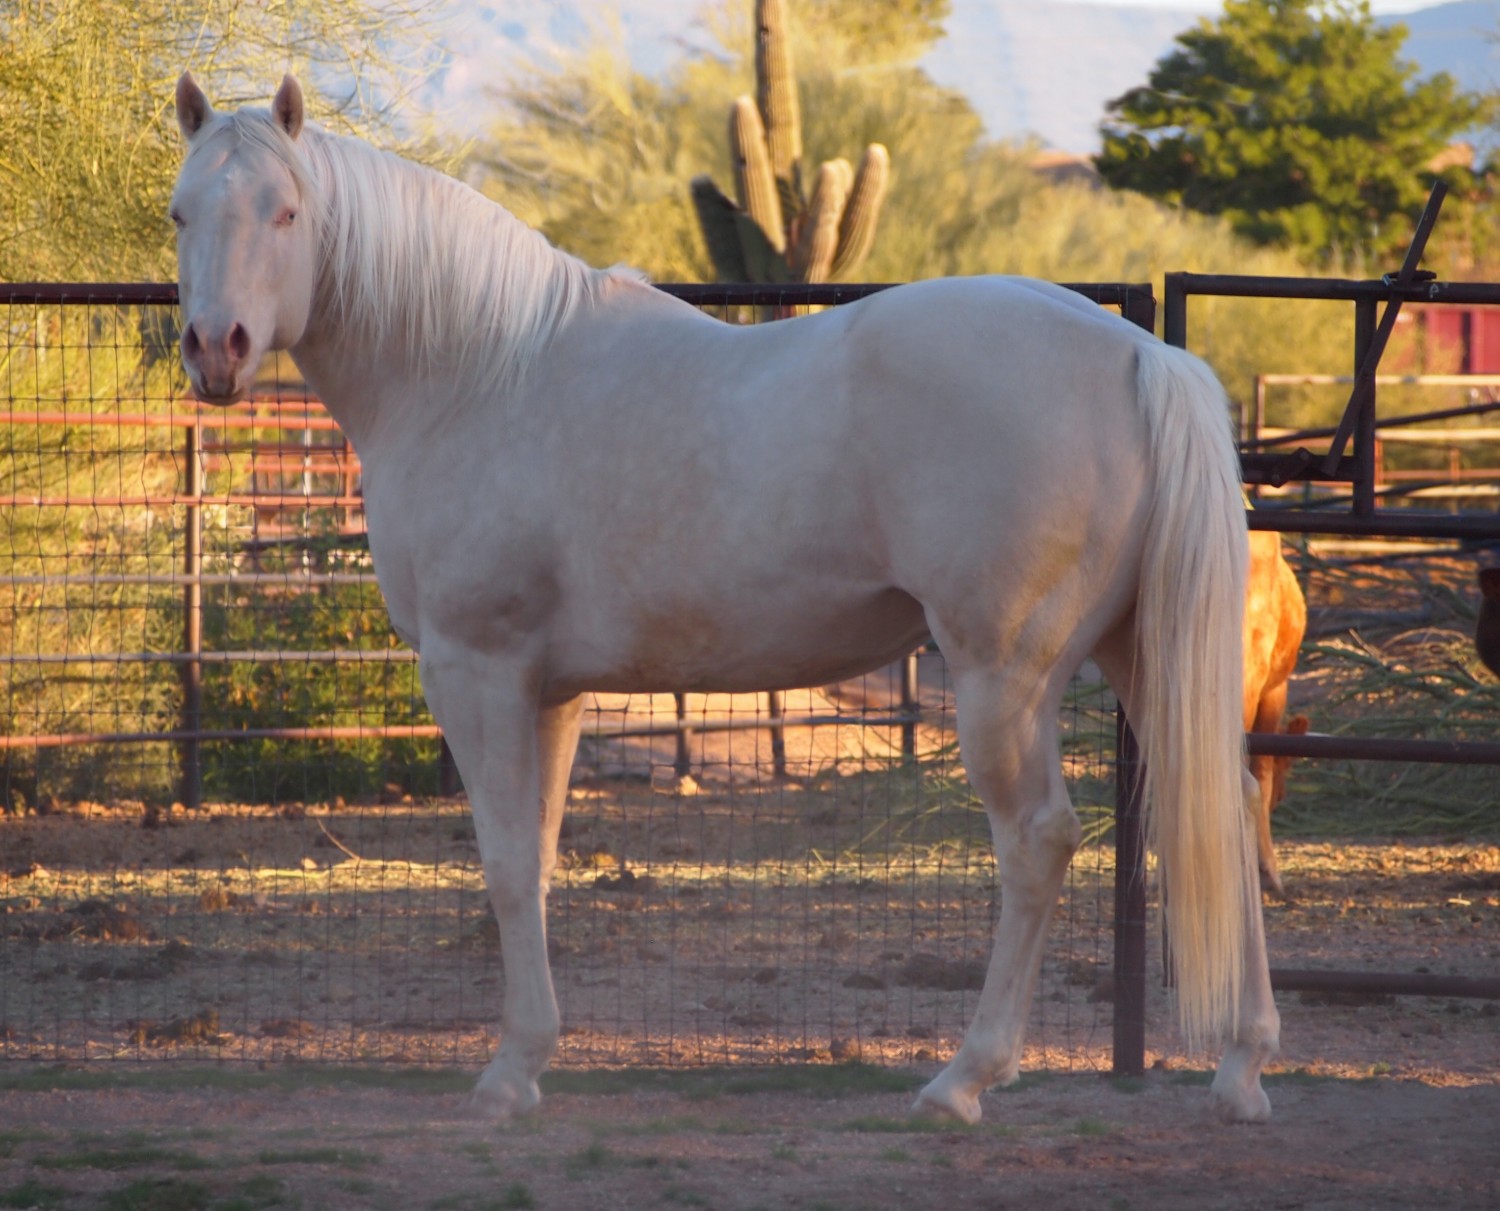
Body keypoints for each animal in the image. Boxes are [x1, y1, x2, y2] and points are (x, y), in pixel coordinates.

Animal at [169, 73, 1278, 1125]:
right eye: (182, 212)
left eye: (285, 212)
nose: (218, 348)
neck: (474, 372)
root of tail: (1139, 353)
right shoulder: (549, 690)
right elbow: (537, 857)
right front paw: (530, 1059)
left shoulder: (475, 669)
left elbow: (504, 862)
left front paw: (506, 1072)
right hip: (1140, 652)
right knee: (1227, 806)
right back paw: (1242, 1063)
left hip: (1004, 675)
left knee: (1038, 842)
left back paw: (962, 1078)